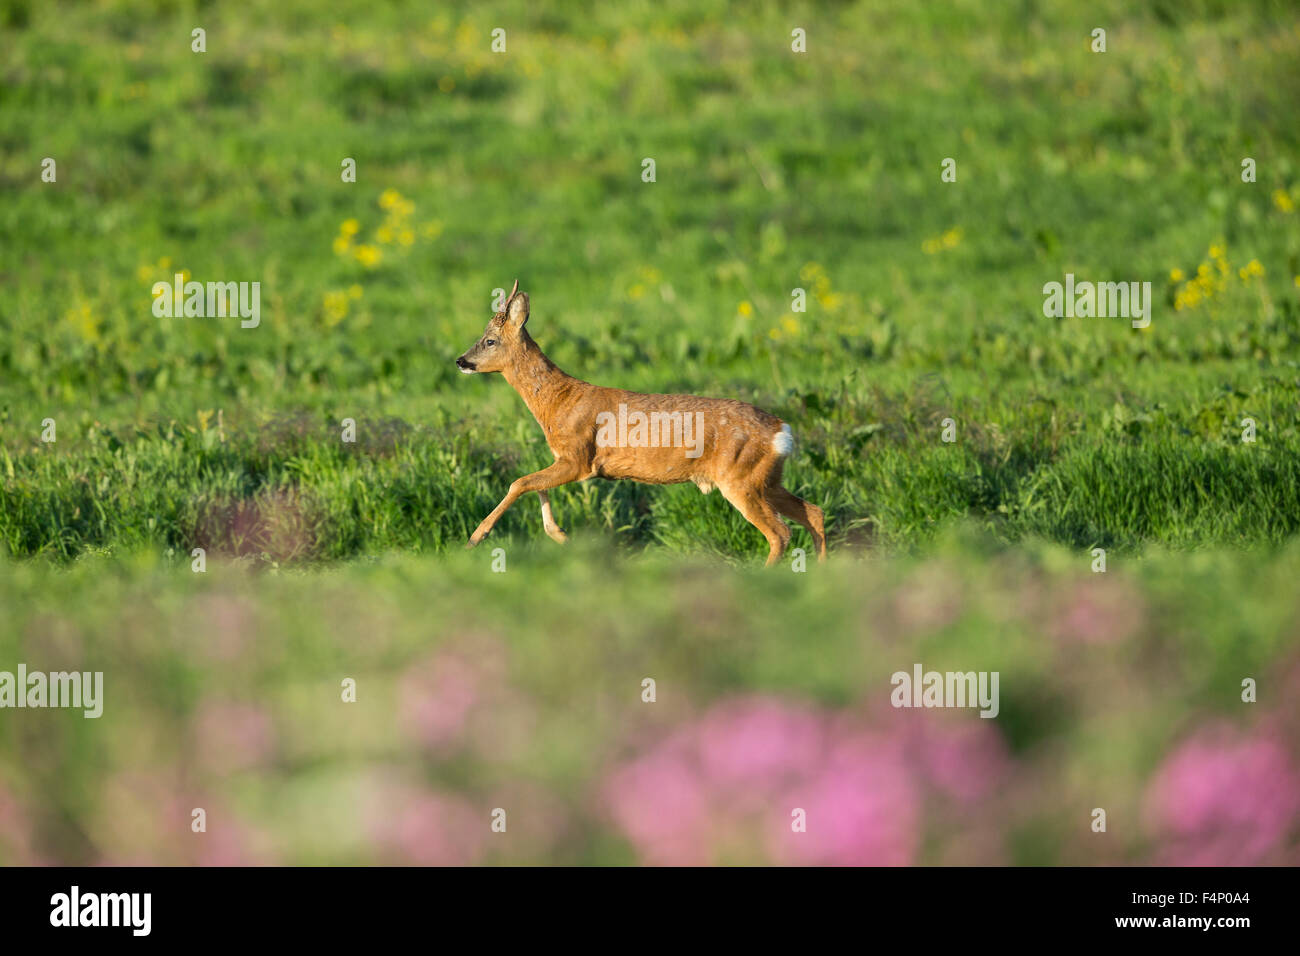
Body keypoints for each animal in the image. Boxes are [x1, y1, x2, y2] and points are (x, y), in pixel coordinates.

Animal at [455, 281, 827, 566]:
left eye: (489, 341)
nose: (461, 360)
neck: (559, 401)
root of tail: (782, 431)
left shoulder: (579, 458)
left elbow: (519, 482)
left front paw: (475, 538)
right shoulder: (569, 461)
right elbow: (535, 486)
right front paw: (560, 535)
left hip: (740, 478)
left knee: (780, 532)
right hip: (766, 478)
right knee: (814, 511)